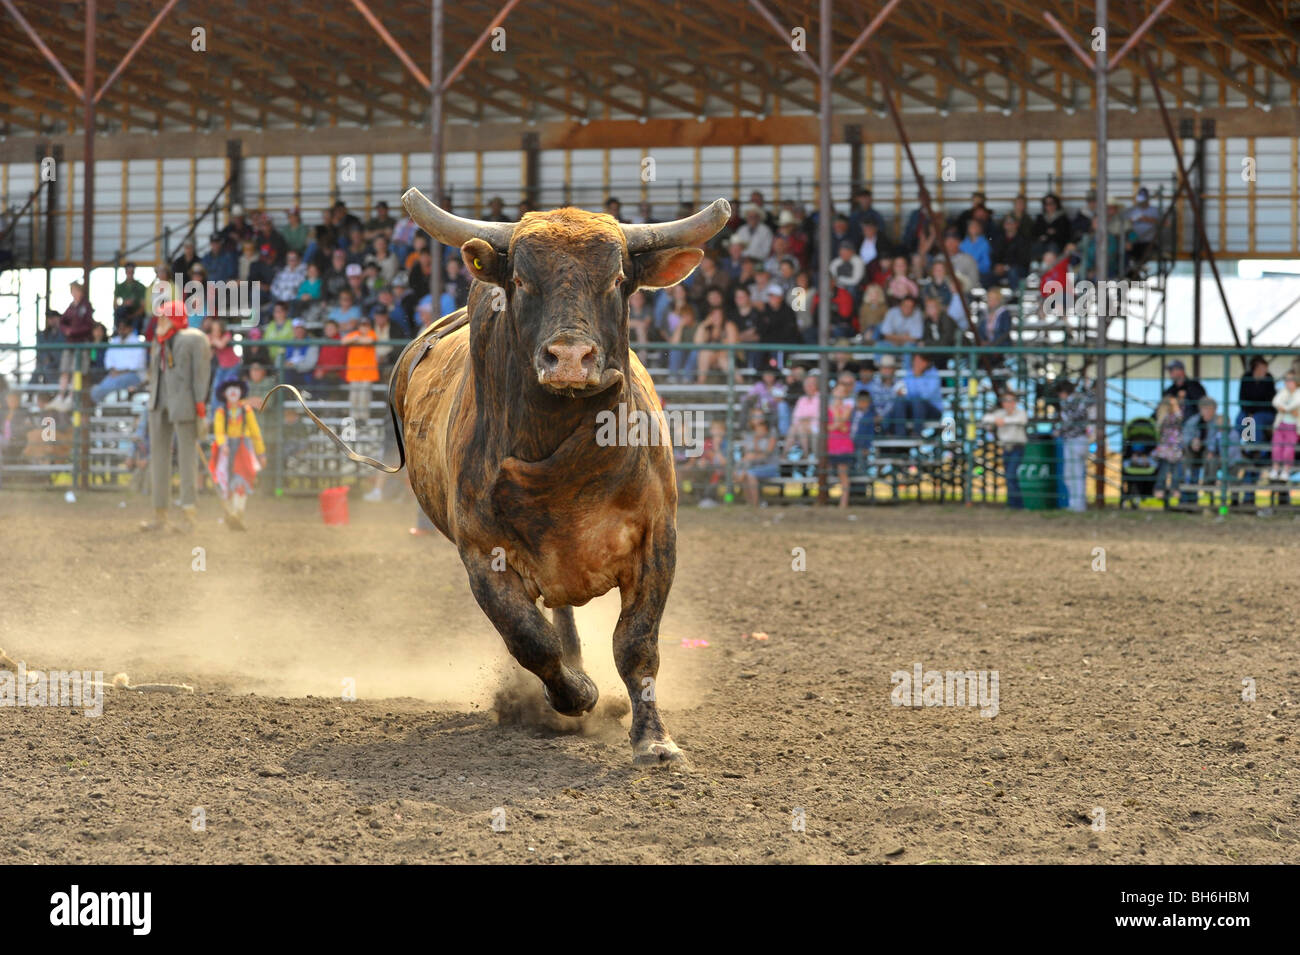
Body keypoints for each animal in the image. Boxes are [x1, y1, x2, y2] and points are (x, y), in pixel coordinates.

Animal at [275, 190, 729, 764]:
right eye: (520, 279)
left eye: (617, 278)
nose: (570, 358)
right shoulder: (481, 555)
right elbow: (530, 640)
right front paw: (578, 693)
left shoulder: (658, 538)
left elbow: (636, 643)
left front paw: (654, 739)